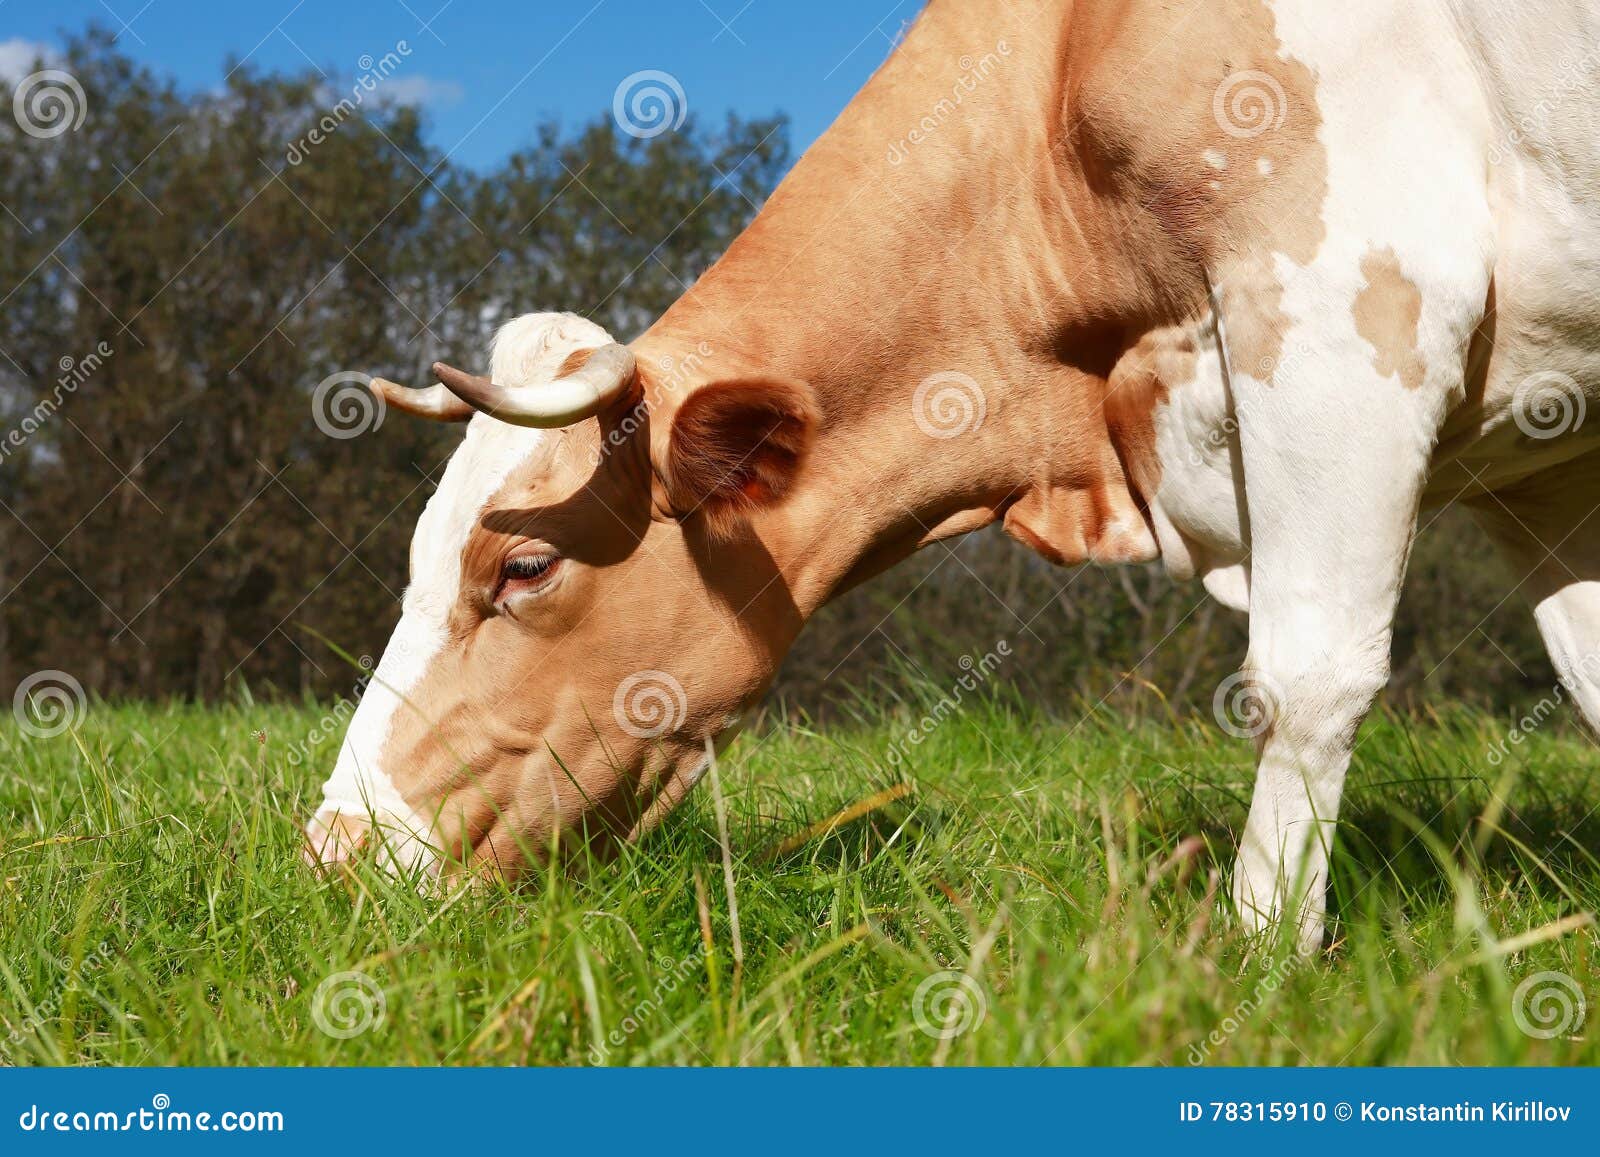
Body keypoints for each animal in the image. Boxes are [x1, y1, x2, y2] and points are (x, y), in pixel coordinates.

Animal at [305, 0, 1600, 951]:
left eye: (523, 566)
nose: (334, 850)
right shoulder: (1547, 454)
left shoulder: (1348, 305)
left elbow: (1305, 681)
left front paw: (1260, 955)